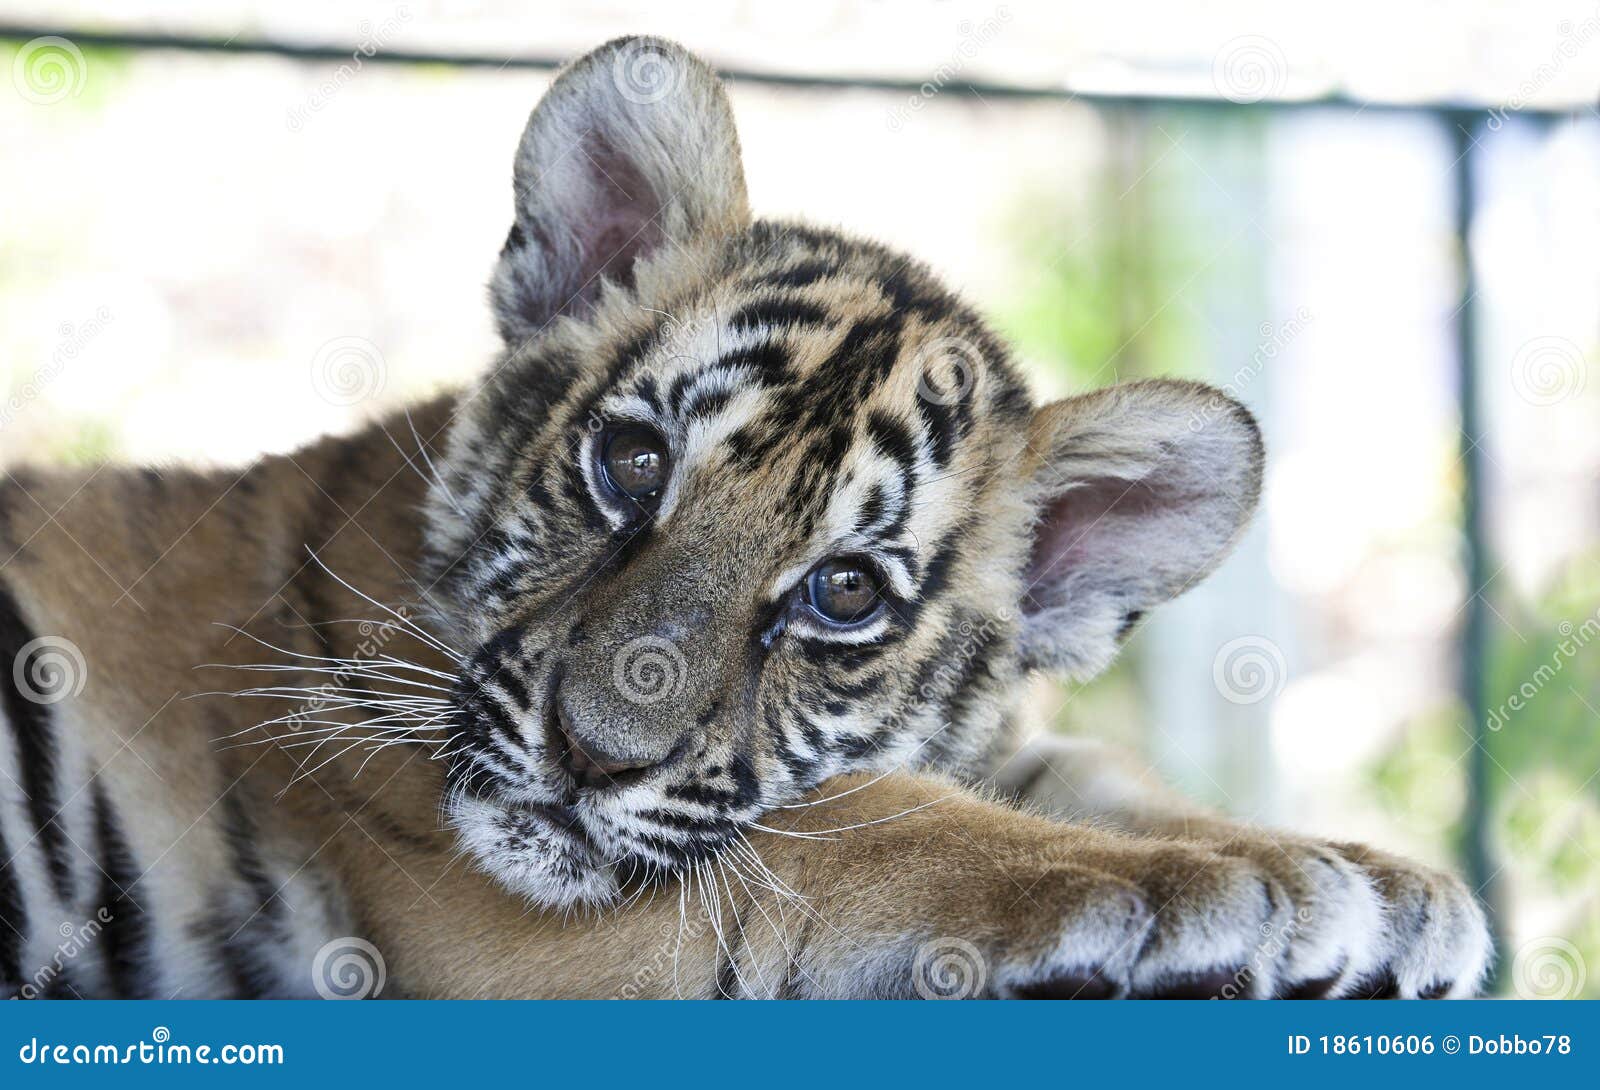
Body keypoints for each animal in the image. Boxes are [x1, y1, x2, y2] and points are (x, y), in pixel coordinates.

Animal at [0, 36, 1491, 1000]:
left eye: (845, 592)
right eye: (631, 462)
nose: (588, 758)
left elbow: (1089, 771)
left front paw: (1374, 886)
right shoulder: (508, 910)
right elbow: (868, 823)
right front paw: (1220, 889)